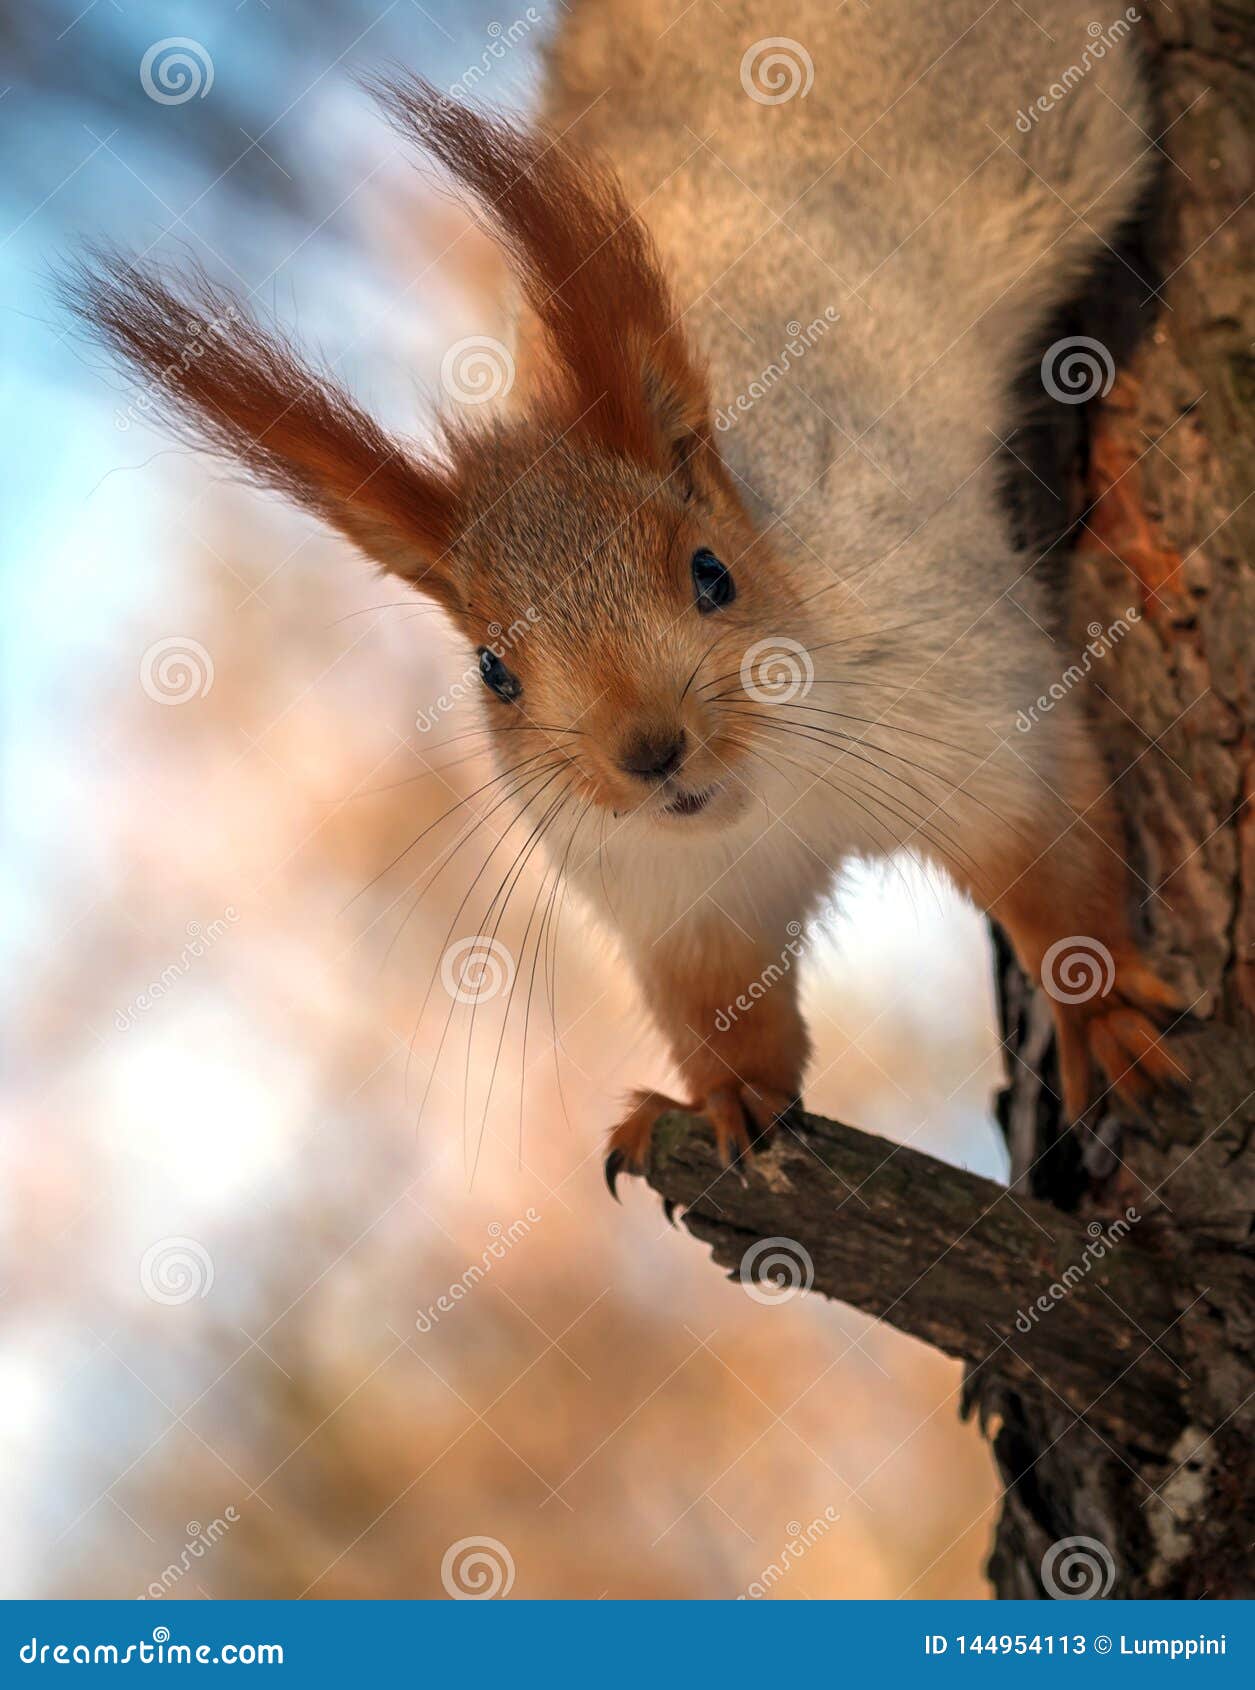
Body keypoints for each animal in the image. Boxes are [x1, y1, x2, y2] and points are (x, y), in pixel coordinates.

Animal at [67, 0, 1185, 1191]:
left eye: (710, 574)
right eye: (493, 670)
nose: (648, 752)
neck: (769, 787)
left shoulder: (967, 695)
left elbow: (1055, 866)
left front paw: (1103, 1009)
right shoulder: (669, 897)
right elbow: (719, 1010)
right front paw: (717, 1101)